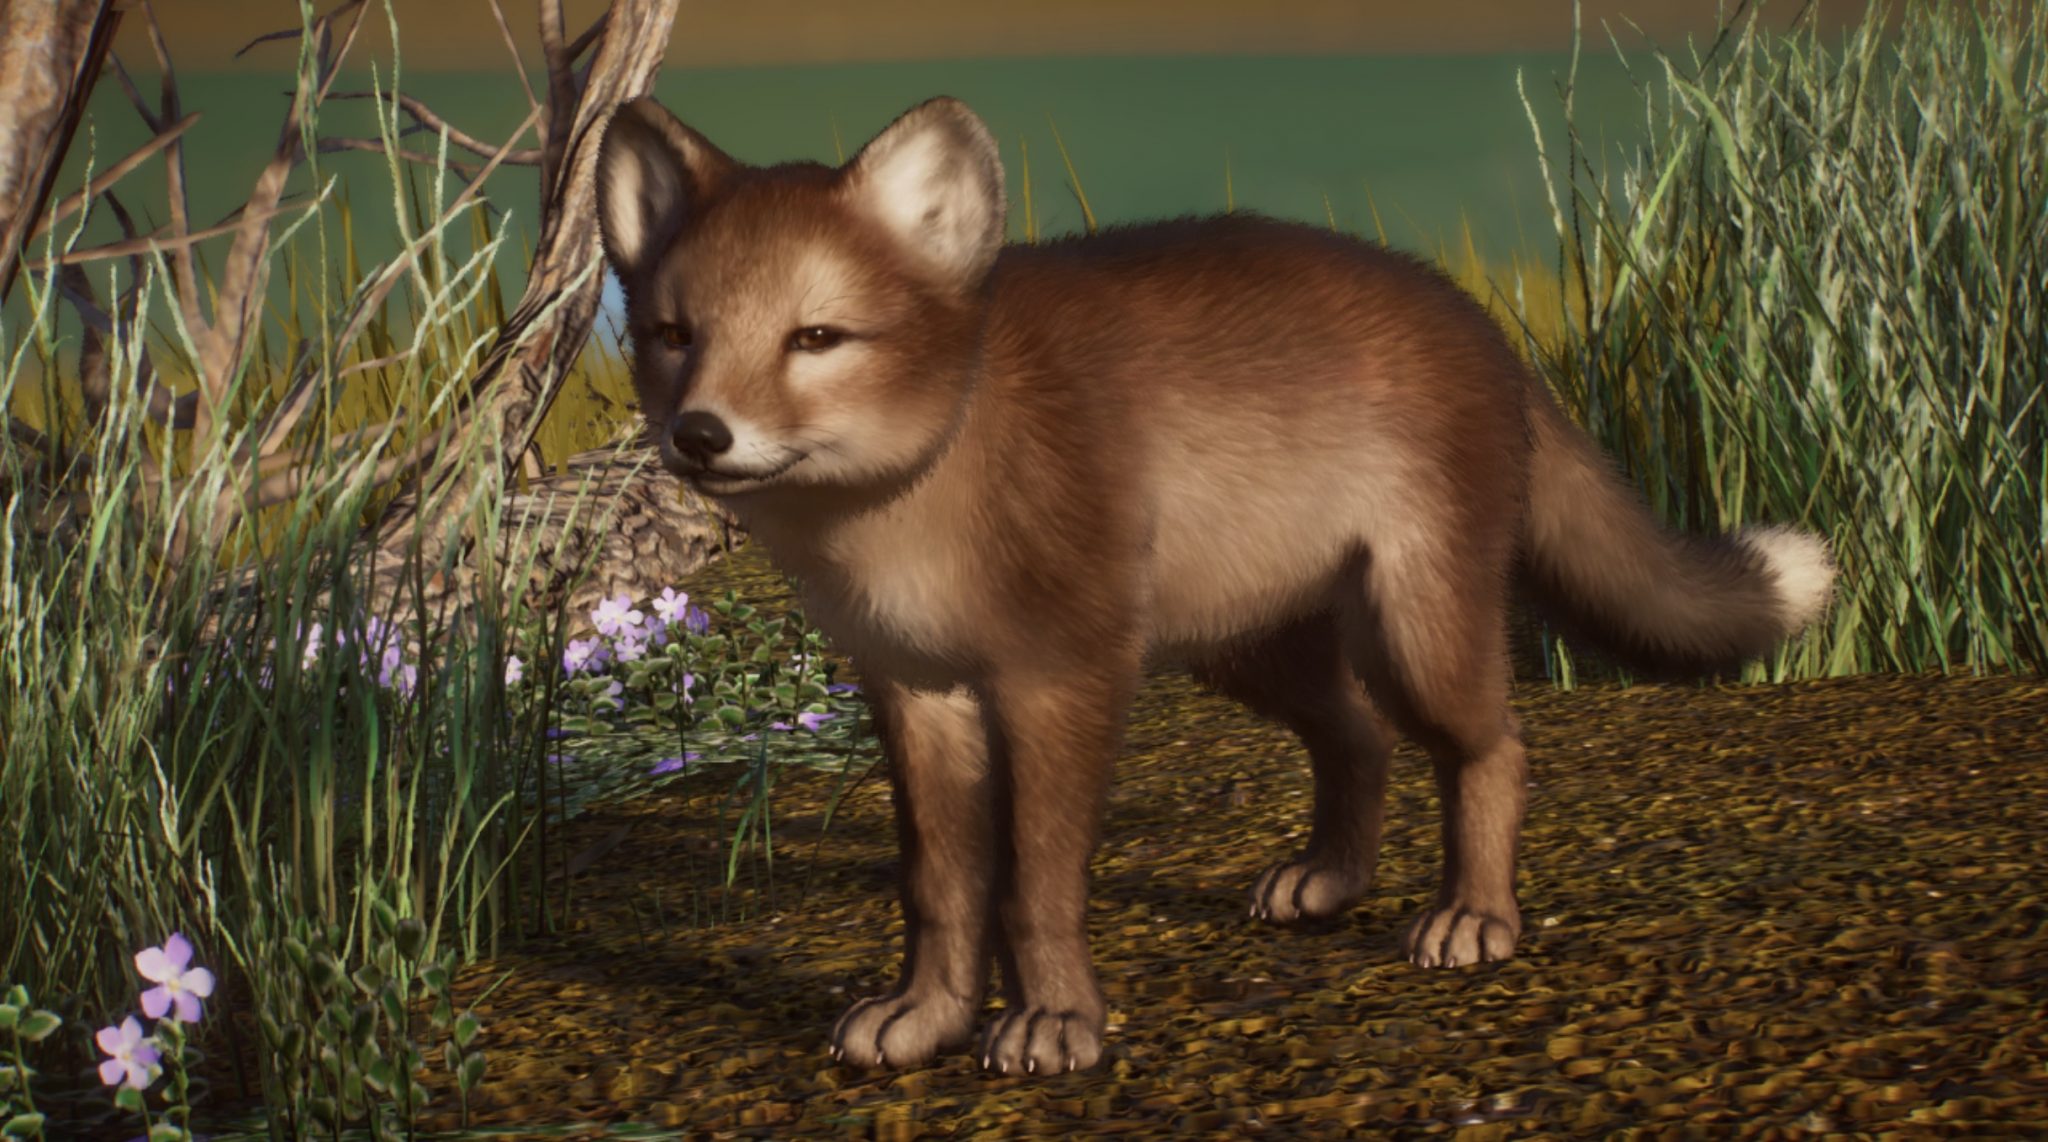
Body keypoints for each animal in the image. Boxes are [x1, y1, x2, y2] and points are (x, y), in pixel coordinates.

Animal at [593, 95, 1835, 1075]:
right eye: (671, 333)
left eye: (816, 336)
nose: (699, 435)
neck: (922, 505)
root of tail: (1473, 316)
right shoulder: (916, 689)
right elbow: (940, 882)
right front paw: (927, 1018)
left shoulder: (1061, 678)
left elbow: (1032, 884)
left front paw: (1051, 1024)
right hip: (1247, 651)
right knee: (1358, 739)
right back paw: (1327, 879)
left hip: (1412, 630)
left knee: (1492, 747)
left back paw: (1474, 915)